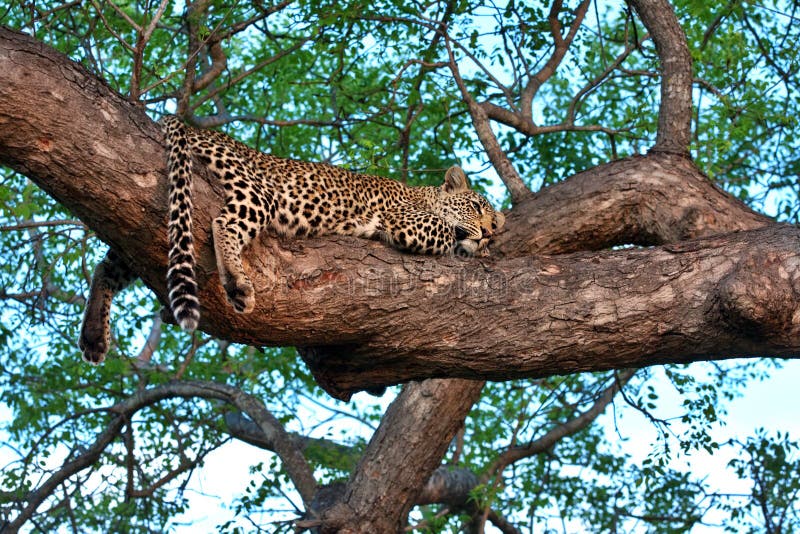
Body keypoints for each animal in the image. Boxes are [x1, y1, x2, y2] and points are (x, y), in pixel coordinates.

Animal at [79, 114, 505, 364]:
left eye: (494, 227)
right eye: (476, 206)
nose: (489, 232)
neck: (423, 194)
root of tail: (197, 128)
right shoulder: (406, 220)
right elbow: (446, 232)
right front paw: (465, 242)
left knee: (111, 263)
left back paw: (93, 335)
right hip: (257, 192)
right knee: (222, 222)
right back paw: (236, 283)